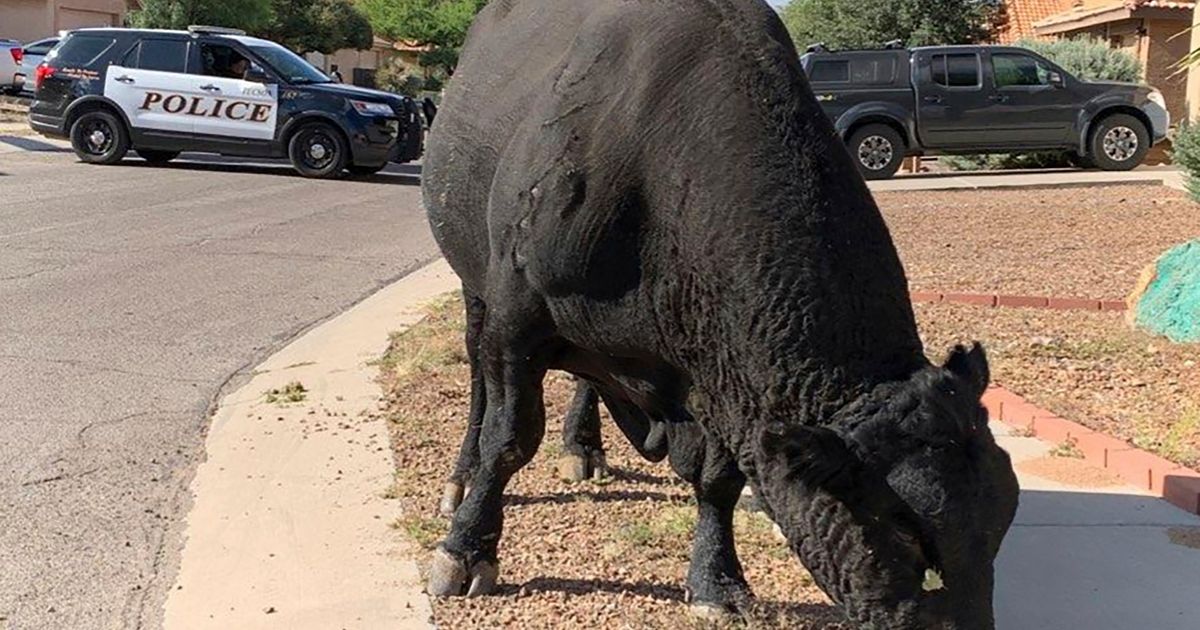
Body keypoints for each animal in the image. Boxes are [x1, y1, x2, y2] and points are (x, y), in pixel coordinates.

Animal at [420, 0, 1020, 627]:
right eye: (907, 537)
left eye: (1004, 518)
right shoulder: (517, 320)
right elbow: (509, 437)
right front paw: (465, 548)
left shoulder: (721, 379)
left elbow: (718, 479)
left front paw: (717, 580)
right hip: (476, 289)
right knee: (479, 382)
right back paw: (462, 478)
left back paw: (583, 447)